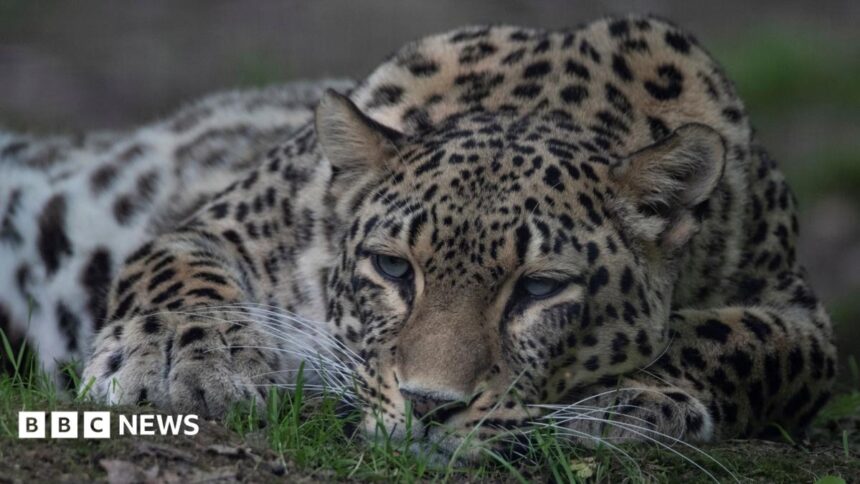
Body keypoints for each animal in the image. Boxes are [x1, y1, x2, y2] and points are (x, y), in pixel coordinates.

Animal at [1, 15, 836, 458]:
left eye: (539, 288)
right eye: (392, 269)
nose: (430, 407)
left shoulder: (801, 315)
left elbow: (741, 341)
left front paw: (631, 398)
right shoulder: (221, 224)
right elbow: (176, 282)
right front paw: (181, 362)